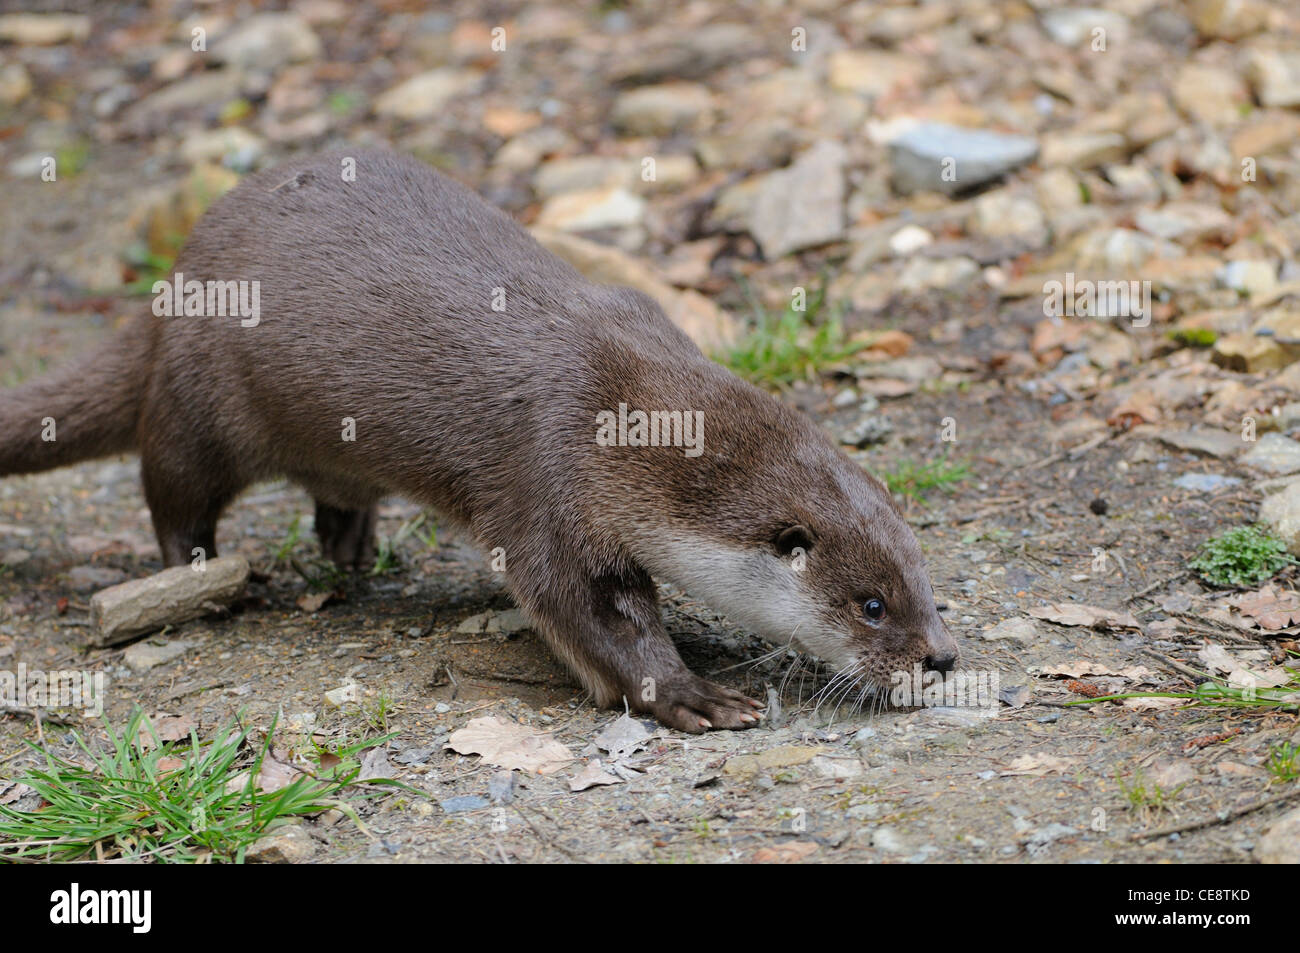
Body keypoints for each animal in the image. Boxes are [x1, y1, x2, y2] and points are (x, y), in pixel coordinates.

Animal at [0, 150, 957, 732]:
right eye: (871, 604)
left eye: (923, 580)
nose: (942, 658)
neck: (634, 413)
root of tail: (171, 284)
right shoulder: (551, 475)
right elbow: (581, 602)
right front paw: (689, 692)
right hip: (202, 397)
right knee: (171, 481)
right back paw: (198, 573)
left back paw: (352, 549)